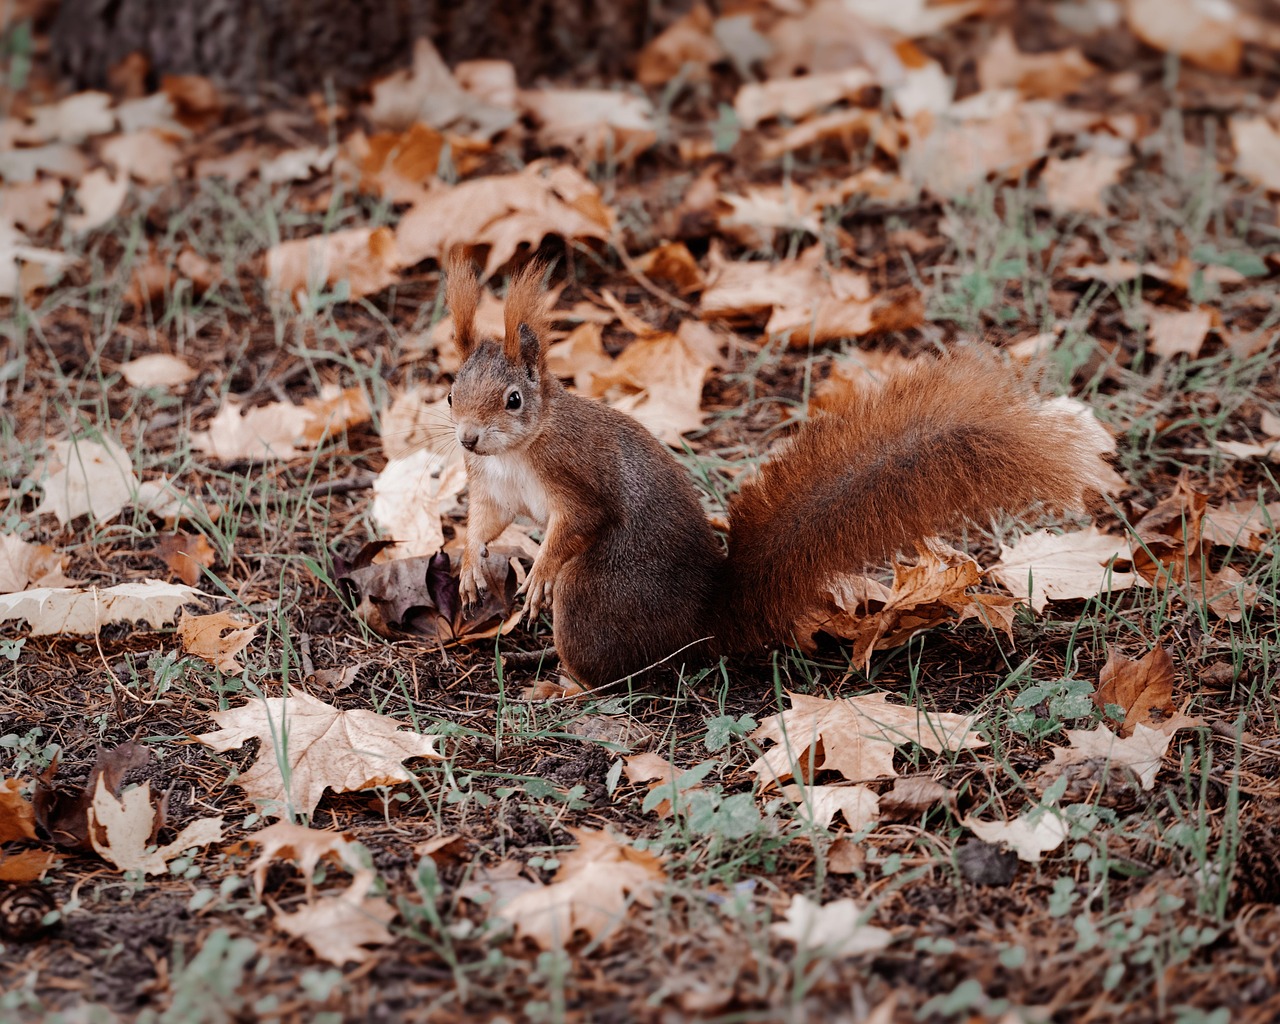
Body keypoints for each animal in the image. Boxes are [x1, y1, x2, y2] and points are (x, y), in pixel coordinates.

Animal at [445, 254, 1115, 689]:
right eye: (450, 392)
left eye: (513, 399)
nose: (468, 438)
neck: (516, 451)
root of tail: (701, 622)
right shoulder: (492, 485)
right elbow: (486, 521)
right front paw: (471, 566)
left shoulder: (574, 475)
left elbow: (577, 522)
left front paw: (536, 575)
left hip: (595, 595)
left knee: (611, 670)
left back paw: (560, 681)